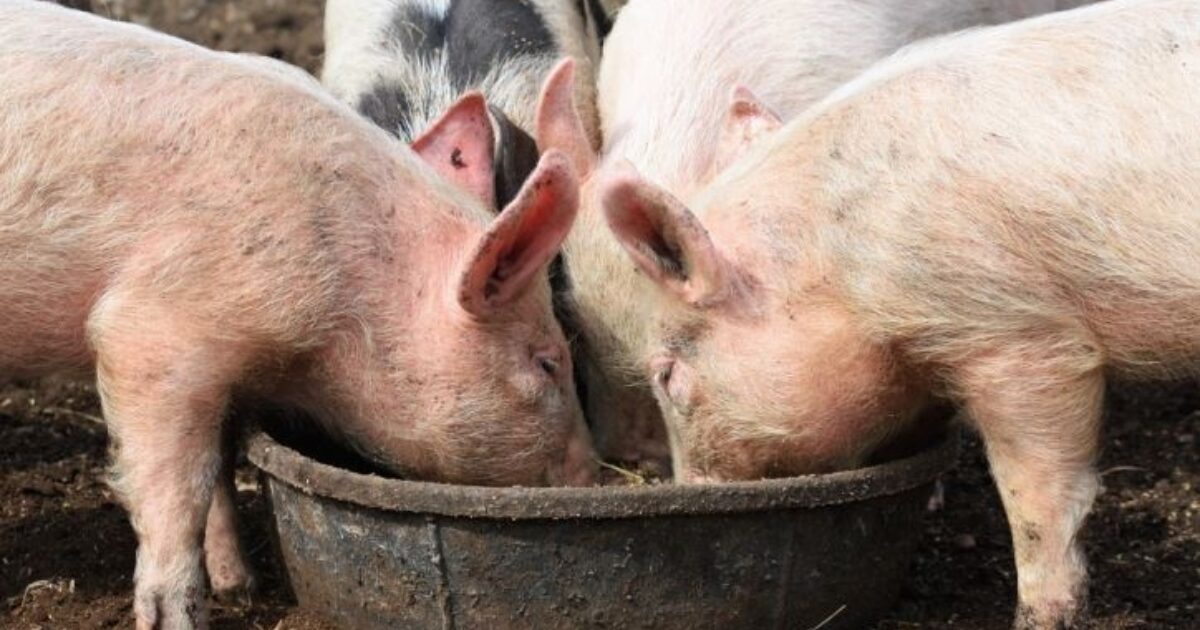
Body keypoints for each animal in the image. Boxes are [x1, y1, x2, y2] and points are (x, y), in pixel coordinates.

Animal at [598, 0, 1200, 626]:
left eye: (667, 375)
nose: (690, 486)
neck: (838, 263)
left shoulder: (1016, 333)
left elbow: (1036, 494)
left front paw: (1035, 617)